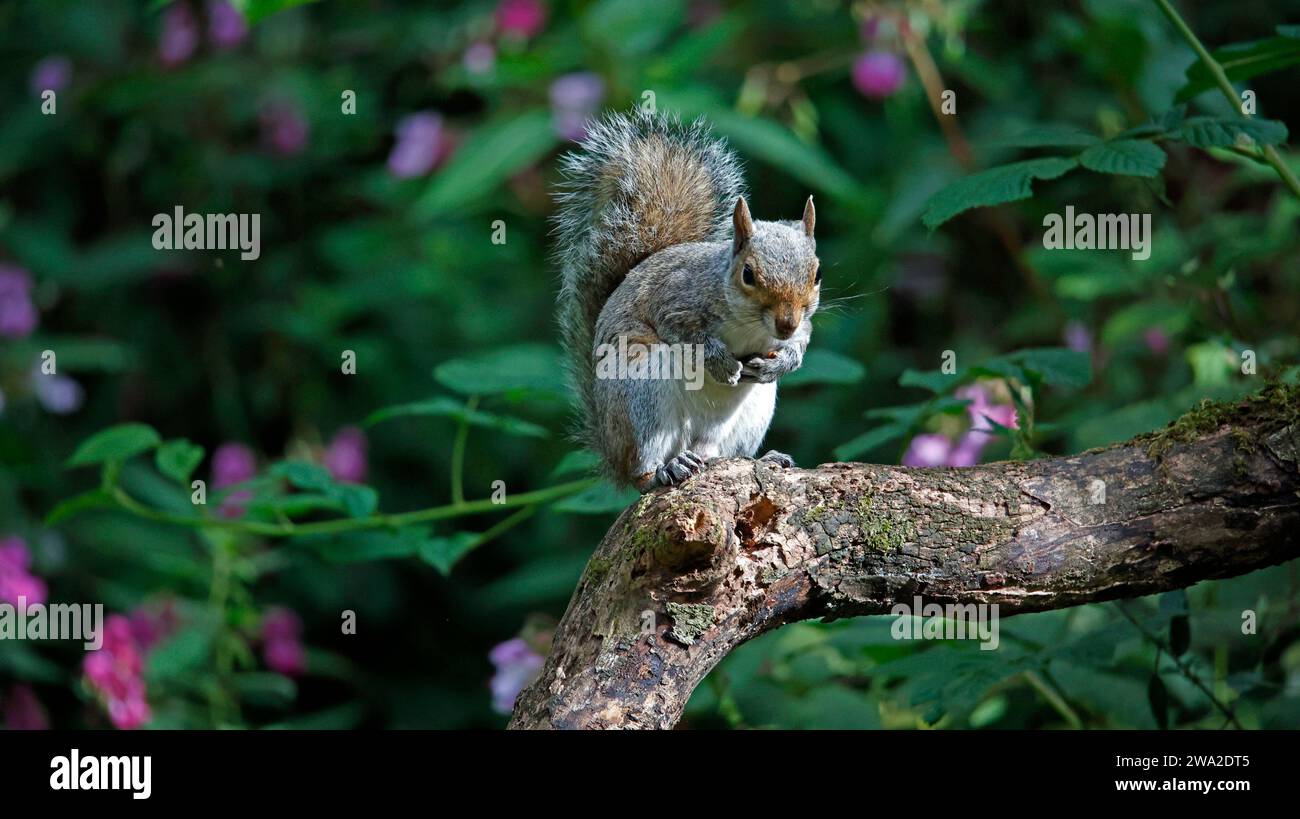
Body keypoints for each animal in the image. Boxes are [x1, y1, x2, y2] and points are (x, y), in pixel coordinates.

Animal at [554, 109, 820, 491]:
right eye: (748, 274)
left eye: (817, 275)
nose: (786, 325)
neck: (750, 326)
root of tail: (611, 452)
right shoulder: (673, 300)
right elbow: (687, 336)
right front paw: (720, 362)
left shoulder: (801, 324)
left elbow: (803, 339)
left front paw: (782, 361)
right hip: (643, 391)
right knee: (643, 468)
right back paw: (664, 470)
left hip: (751, 412)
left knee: (721, 454)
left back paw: (760, 459)